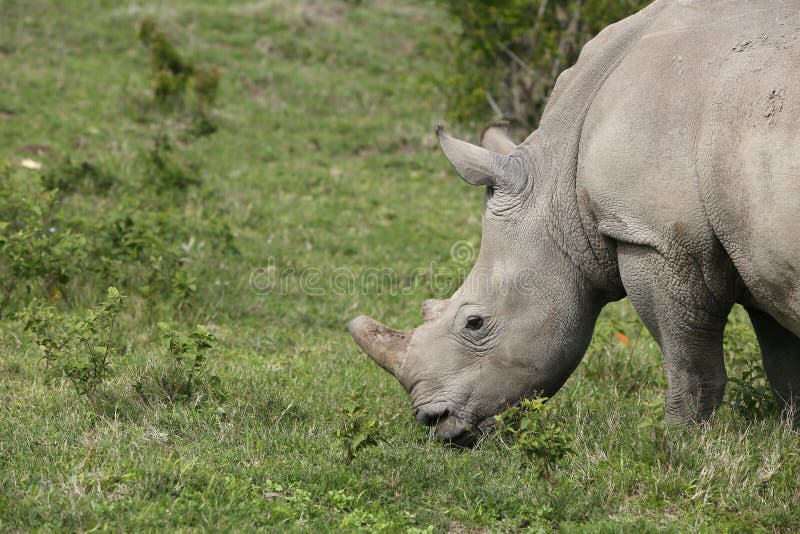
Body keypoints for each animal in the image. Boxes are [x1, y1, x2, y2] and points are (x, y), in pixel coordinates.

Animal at [348, 0, 800, 447]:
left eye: (475, 323)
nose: (434, 422)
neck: (556, 180)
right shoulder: (751, 249)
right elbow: (782, 362)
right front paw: (791, 432)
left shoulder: (656, 240)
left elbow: (687, 362)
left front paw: (679, 440)